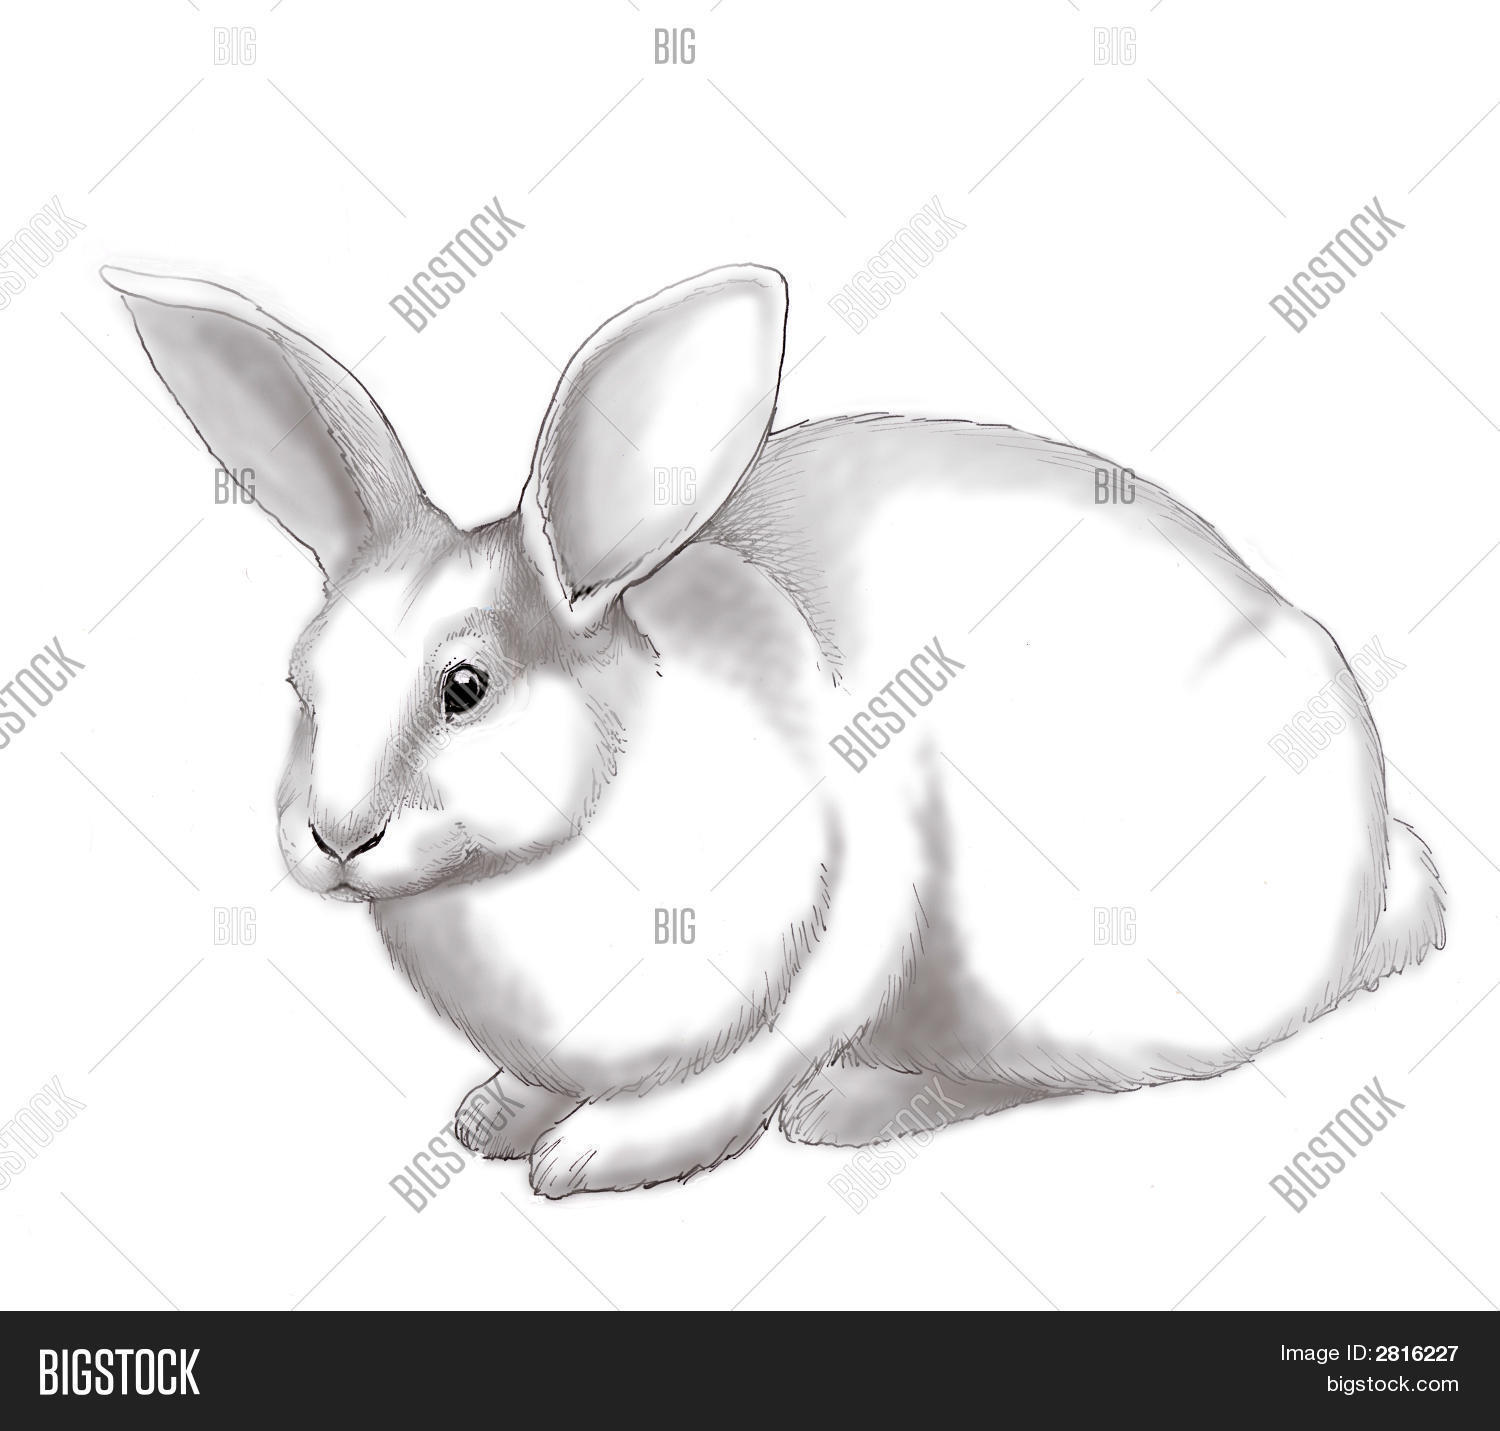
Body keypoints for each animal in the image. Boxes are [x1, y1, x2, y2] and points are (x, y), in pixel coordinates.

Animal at [102, 261, 1444, 1197]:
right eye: (303, 681)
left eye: (466, 687)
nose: (335, 837)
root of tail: (1383, 876)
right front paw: (495, 1117)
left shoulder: (859, 897)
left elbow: (751, 1063)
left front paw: (592, 1155)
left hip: (1075, 981)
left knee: (1039, 1081)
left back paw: (853, 1109)